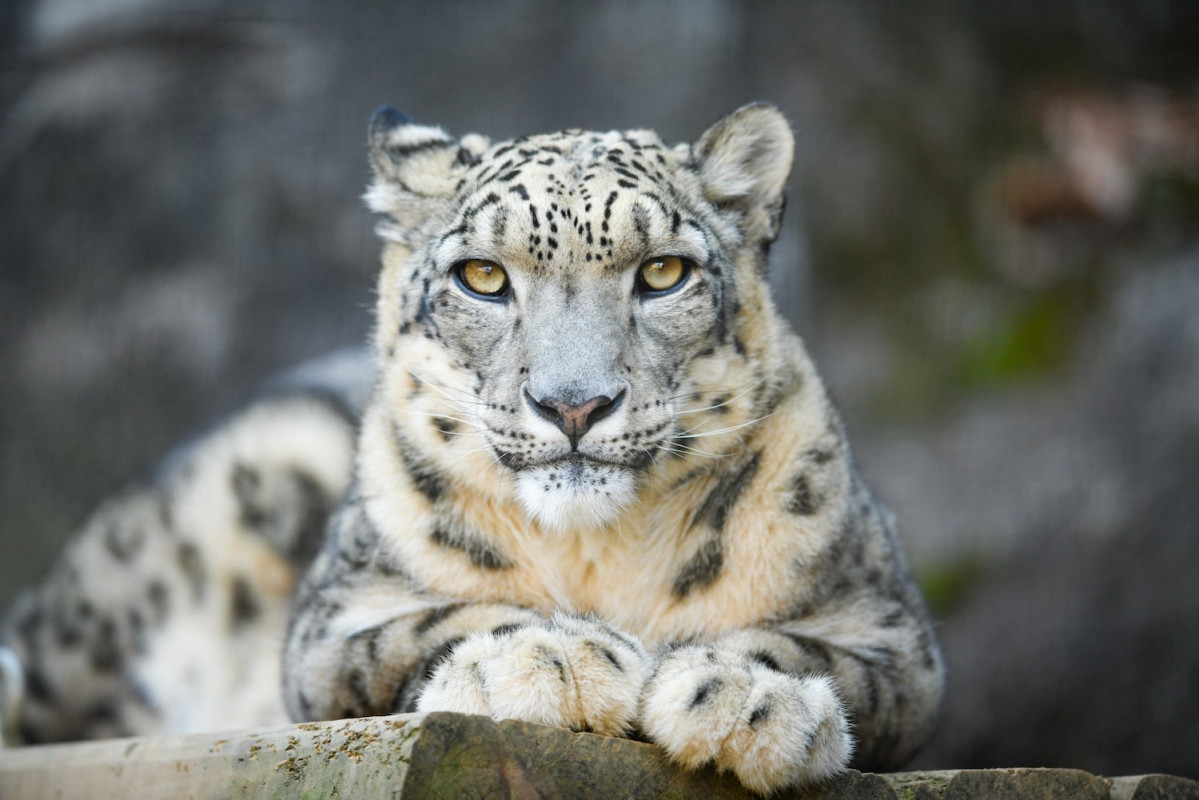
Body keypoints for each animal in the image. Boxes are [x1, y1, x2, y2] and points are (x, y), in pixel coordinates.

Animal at [0, 103, 943, 794]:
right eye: (483, 277)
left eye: (664, 272)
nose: (573, 404)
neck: (599, 552)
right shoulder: (330, 622)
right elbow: (433, 620)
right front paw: (553, 658)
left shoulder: (892, 630)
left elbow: (810, 650)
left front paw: (744, 699)